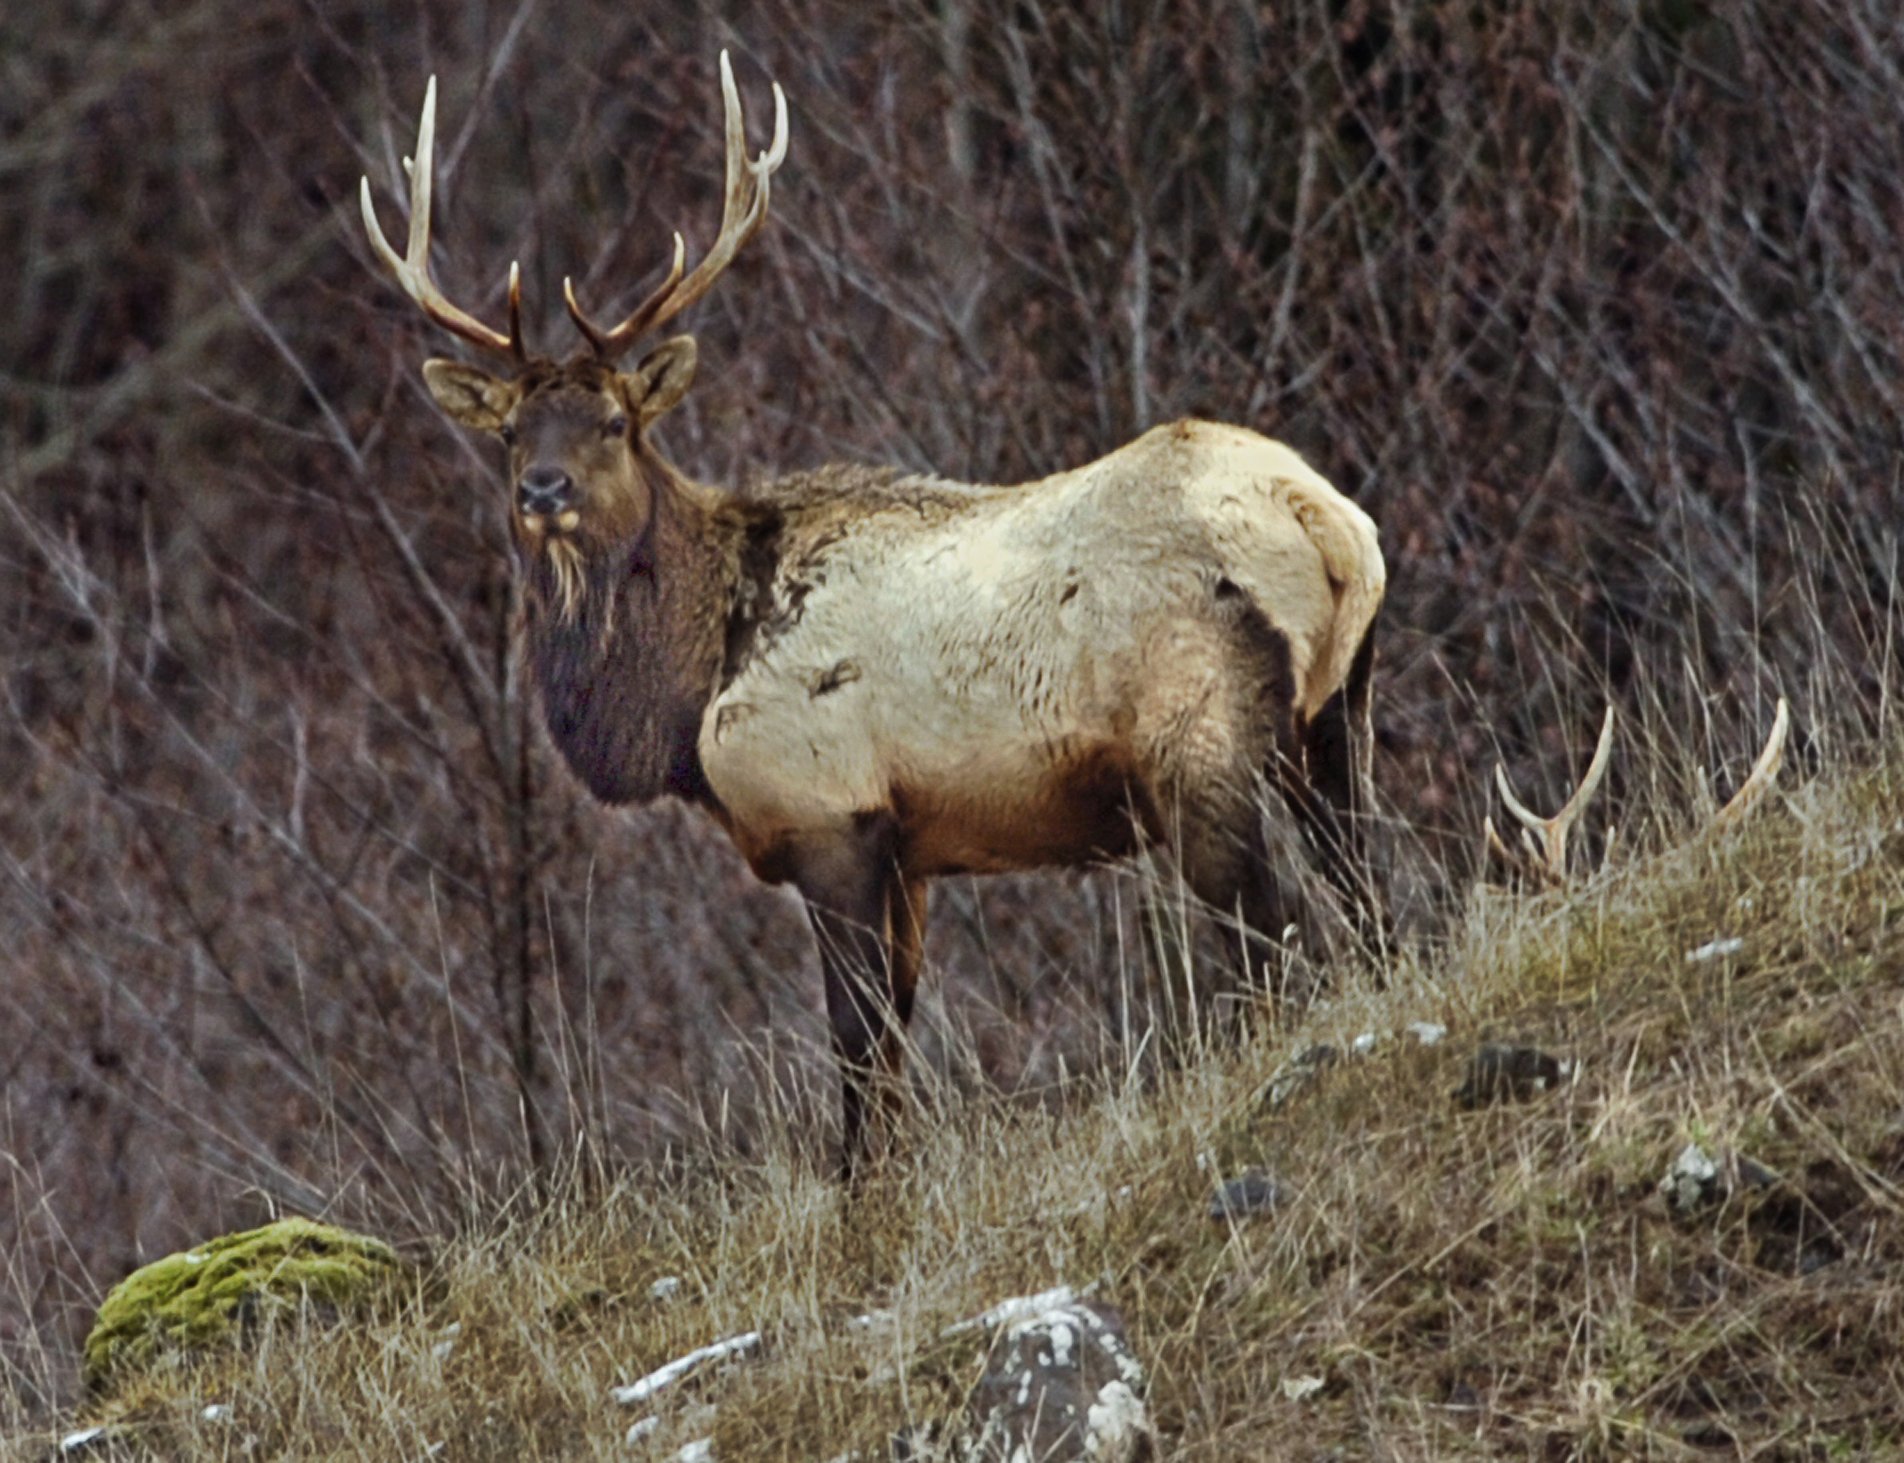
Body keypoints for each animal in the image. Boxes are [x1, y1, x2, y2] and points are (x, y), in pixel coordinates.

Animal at [359, 54, 1388, 1176]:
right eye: (510, 430)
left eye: (614, 422)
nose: (542, 488)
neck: (690, 691)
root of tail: (1324, 518)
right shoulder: (911, 848)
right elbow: (893, 1039)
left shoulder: (828, 811)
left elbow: (856, 1043)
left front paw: (859, 1184)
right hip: (1334, 713)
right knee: (1366, 889)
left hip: (1196, 729)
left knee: (1270, 923)